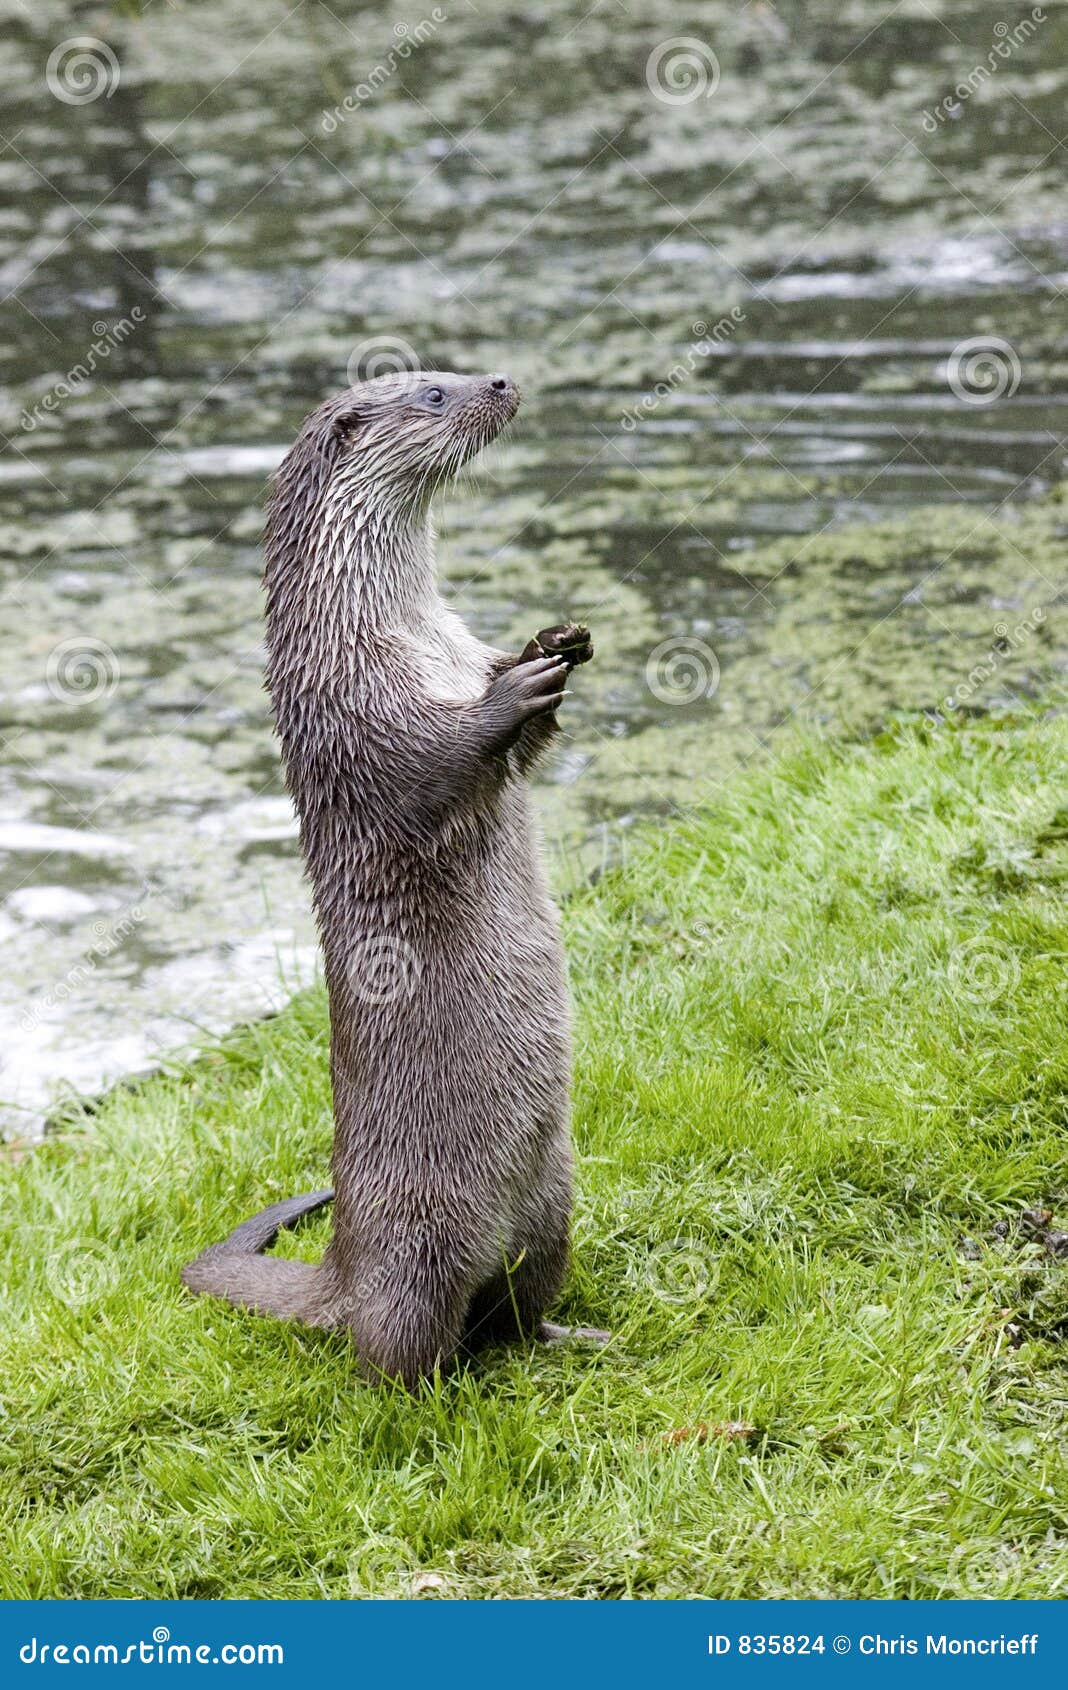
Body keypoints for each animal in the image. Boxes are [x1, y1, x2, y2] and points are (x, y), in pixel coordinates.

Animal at [182, 370, 603, 1389]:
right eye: (433, 390)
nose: (500, 380)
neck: (407, 630)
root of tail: (344, 1264)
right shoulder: (355, 710)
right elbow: (431, 764)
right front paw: (512, 689)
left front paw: (554, 644)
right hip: (419, 1245)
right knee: (396, 1348)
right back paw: (435, 1392)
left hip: (555, 1200)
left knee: (520, 1306)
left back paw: (568, 1337)